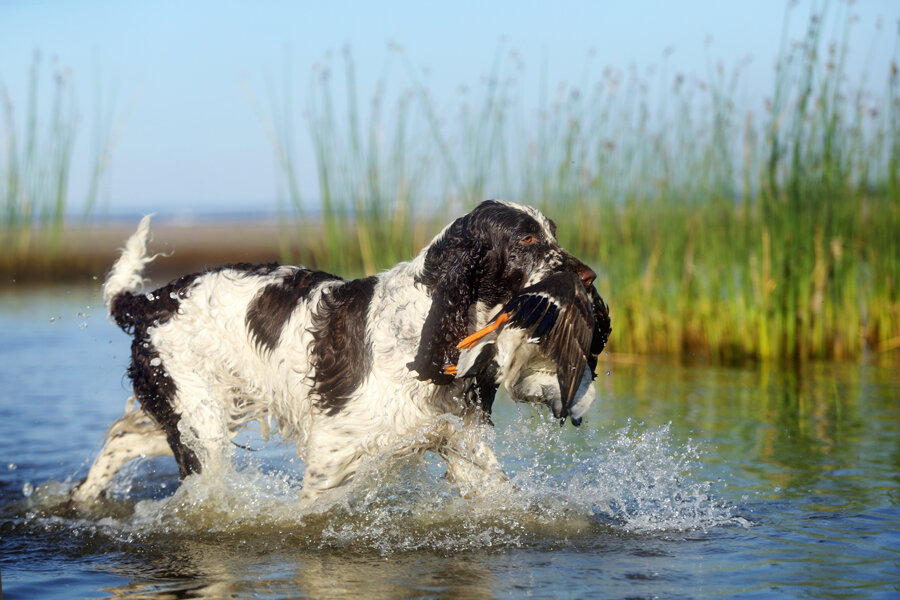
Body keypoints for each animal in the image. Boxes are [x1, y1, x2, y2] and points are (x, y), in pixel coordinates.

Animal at [74, 200, 600, 502]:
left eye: (553, 231)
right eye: (527, 237)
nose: (589, 276)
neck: (421, 326)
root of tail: (151, 302)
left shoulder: (461, 440)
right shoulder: (333, 451)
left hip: (194, 413)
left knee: (122, 437)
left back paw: (82, 499)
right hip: (200, 422)